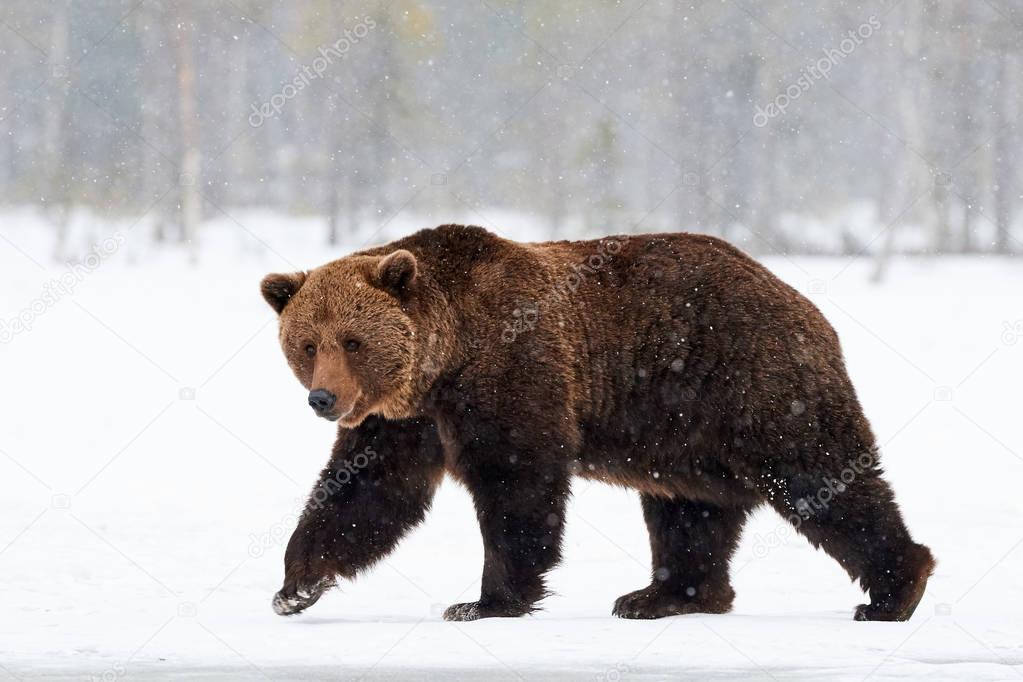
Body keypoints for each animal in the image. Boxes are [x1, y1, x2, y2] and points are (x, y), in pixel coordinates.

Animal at [261, 224, 935, 622]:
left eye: (352, 340)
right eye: (307, 343)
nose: (324, 398)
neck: (443, 360)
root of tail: (805, 303)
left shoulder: (513, 372)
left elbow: (515, 484)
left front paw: (484, 601)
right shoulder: (405, 421)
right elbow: (365, 493)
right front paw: (294, 585)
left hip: (749, 380)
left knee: (818, 475)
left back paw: (894, 590)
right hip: (682, 428)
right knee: (690, 510)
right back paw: (661, 596)